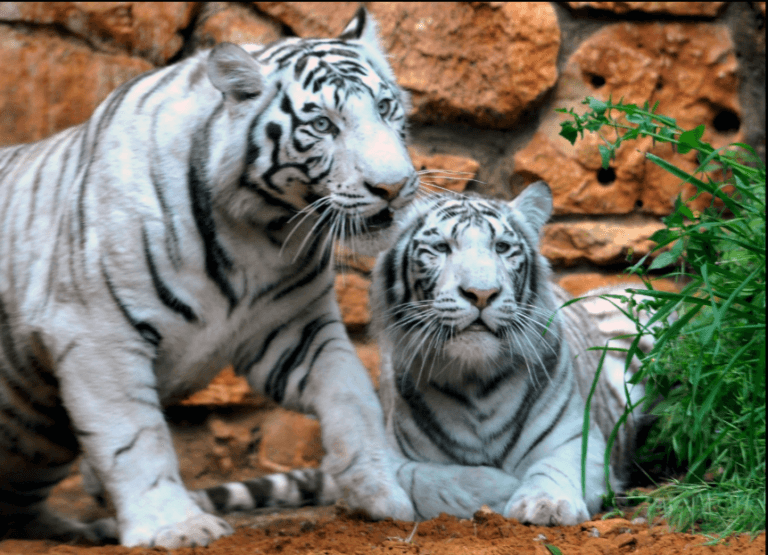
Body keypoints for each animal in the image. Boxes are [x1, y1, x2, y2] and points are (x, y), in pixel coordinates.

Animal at [0, 7, 418, 548]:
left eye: (386, 109)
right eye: (323, 125)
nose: (393, 187)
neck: (257, 231)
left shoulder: (293, 329)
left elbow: (353, 396)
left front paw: (380, 492)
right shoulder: (96, 332)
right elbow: (134, 434)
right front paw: (176, 526)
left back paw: (75, 531)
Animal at [191, 181, 650, 526]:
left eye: (502, 248)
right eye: (442, 248)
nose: (481, 293)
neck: (475, 381)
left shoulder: (576, 440)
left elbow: (552, 469)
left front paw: (546, 505)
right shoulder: (388, 458)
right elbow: (434, 479)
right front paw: (501, 488)